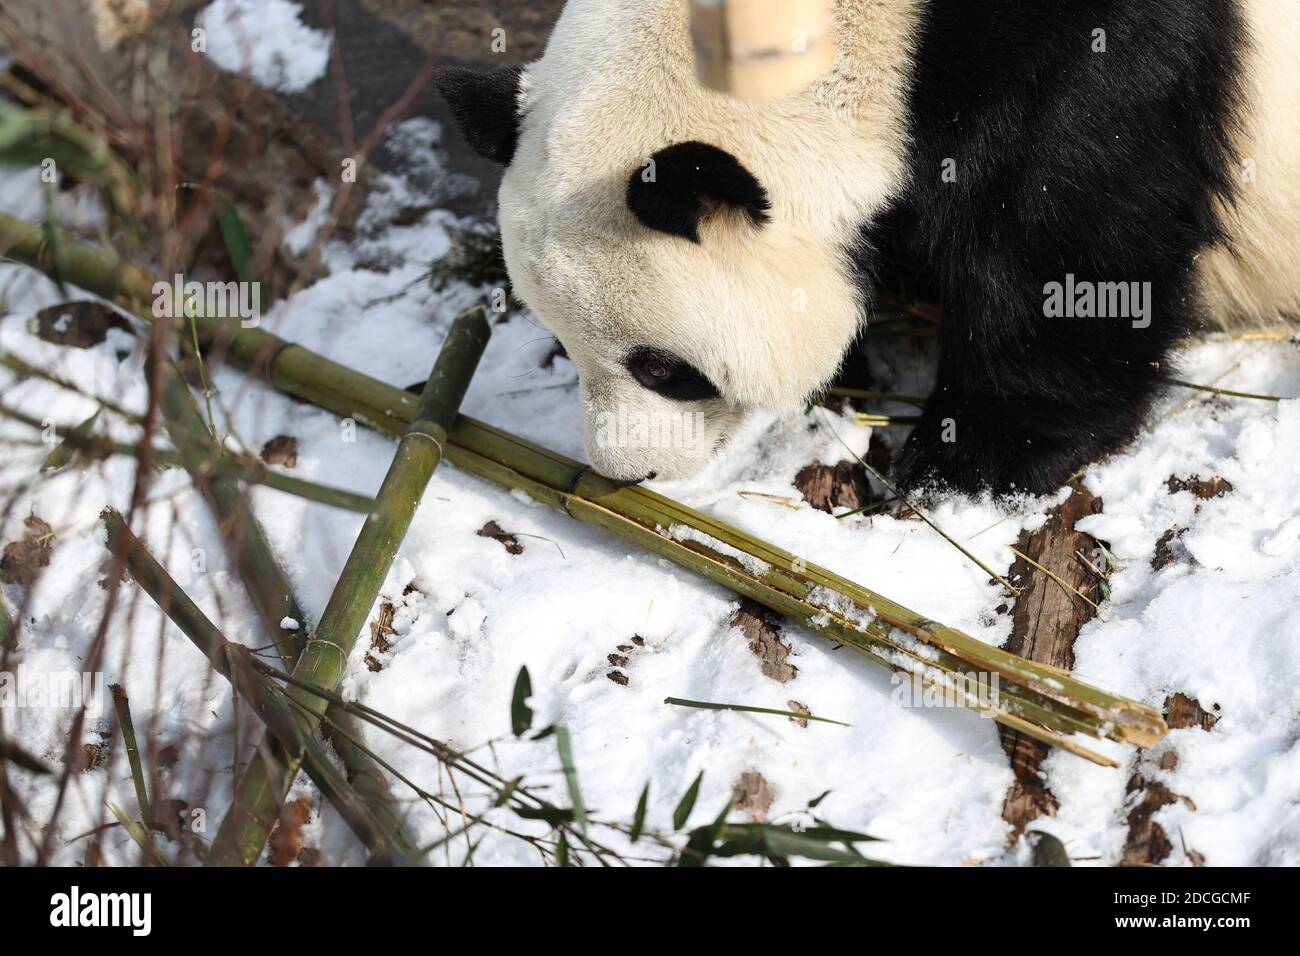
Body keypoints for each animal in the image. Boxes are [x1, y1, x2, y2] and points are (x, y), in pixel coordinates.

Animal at [438, 0, 1300, 496]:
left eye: (662, 368)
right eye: (563, 342)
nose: (627, 472)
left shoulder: (1079, 53)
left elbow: (1071, 233)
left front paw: (976, 460)